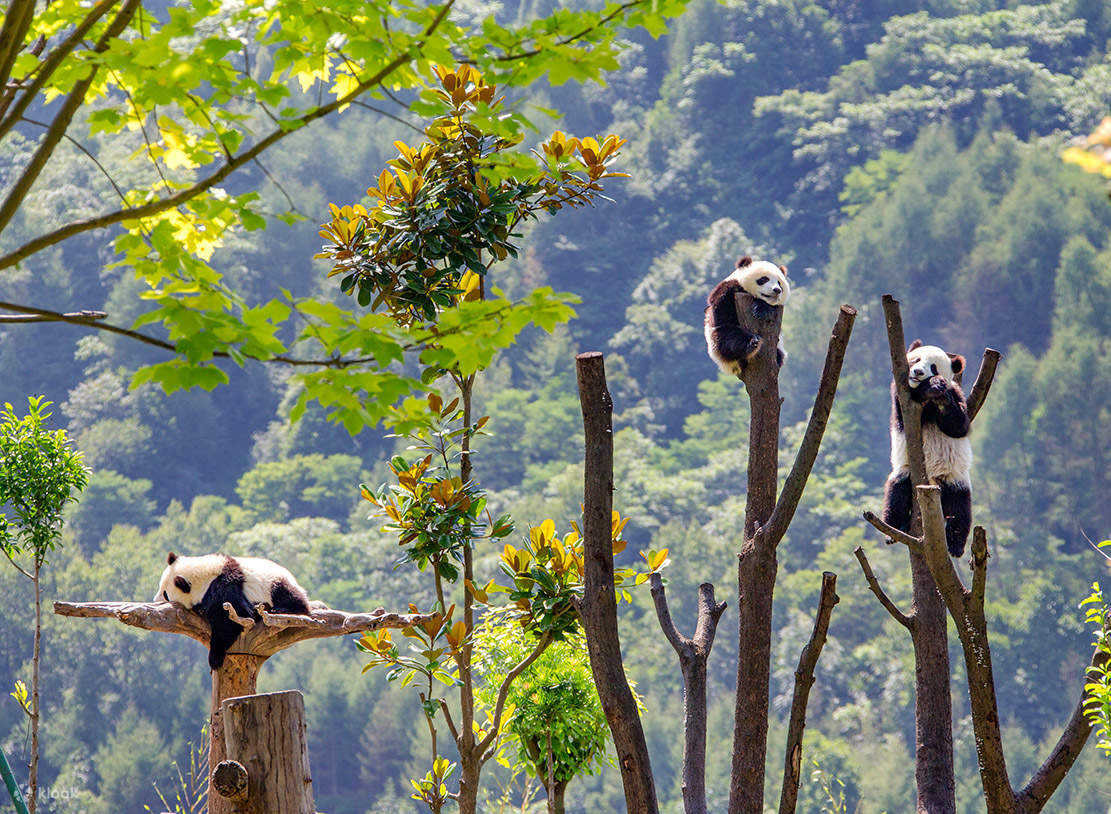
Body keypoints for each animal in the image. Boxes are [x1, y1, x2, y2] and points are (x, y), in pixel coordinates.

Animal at [154, 552, 311, 670]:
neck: (205, 576)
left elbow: (231, 619)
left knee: (290, 597)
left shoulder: (224, 588)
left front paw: (215, 658)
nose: (155, 600)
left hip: (274, 583)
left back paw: (279, 609)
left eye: (165, 594)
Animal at [882, 340, 973, 557]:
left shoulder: (957, 394)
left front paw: (939, 391)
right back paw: (892, 531)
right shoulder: (903, 399)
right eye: (916, 359)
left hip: (954, 480)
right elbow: (902, 408)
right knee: (896, 494)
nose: (918, 372)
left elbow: (958, 426)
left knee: (960, 510)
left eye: (934, 367)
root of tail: (932, 481)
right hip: (906, 473)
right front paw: (930, 388)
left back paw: (955, 546)